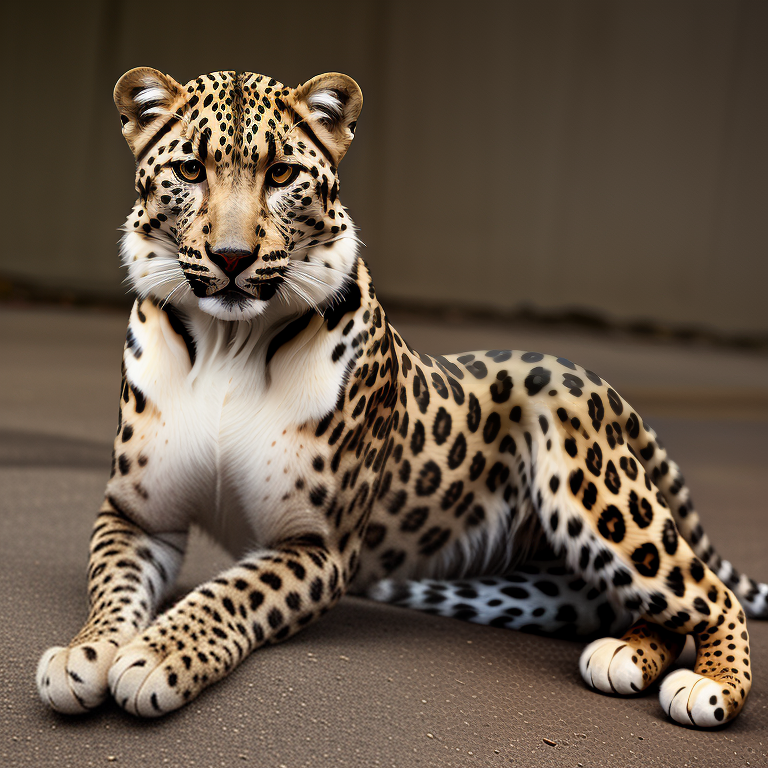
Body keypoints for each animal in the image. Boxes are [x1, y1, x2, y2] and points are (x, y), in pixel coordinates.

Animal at [36, 67, 767, 728]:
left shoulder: (316, 545)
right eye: (190, 171)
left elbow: (228, 594)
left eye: (281, 176)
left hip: (601, 499)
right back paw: (626, 653)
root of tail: (608, 390)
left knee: (709, 593)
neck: (227, 343)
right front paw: (85, 654)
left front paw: (157, 656)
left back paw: (709, 687)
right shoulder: (137, 514)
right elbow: (111, 589)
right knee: (638, 603)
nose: (233, 257)